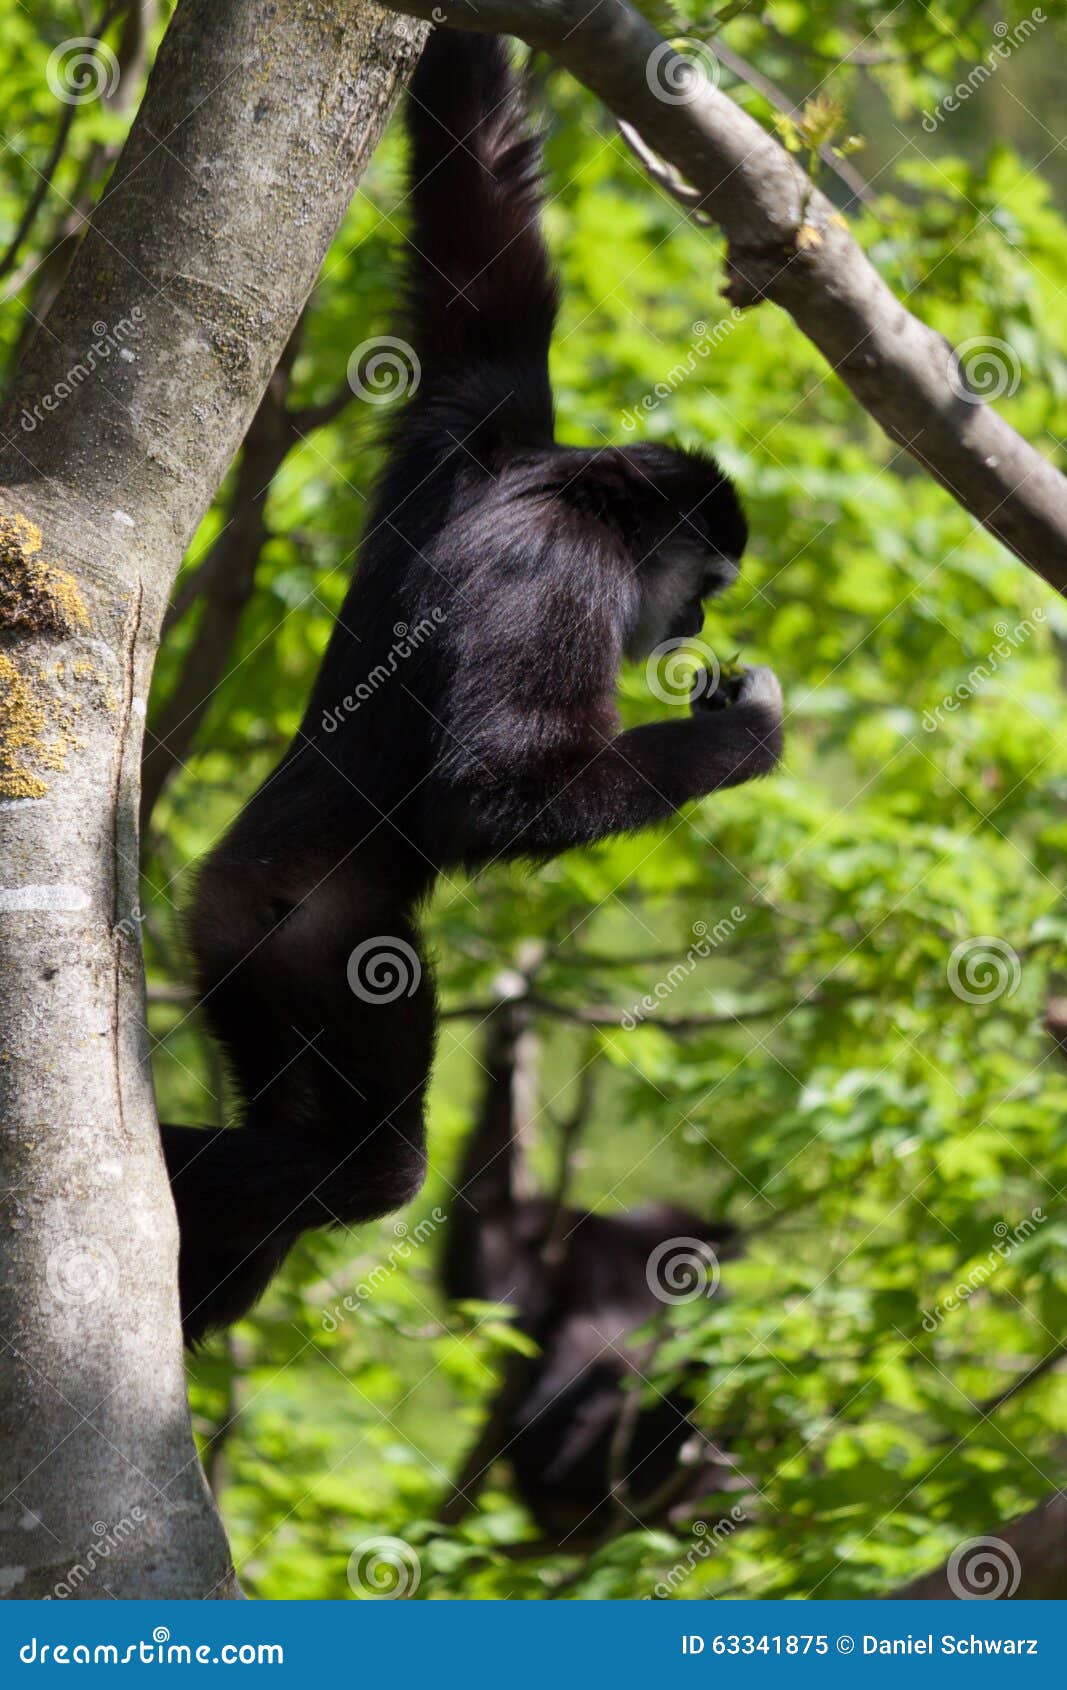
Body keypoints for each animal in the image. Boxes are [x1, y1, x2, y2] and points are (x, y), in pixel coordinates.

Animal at [161, 29, 782, 1345]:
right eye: (703, 583)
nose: (700, 617)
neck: (557, 489)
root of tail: (231, 878)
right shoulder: (564, 570)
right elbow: (489, 791)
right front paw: (750, 730)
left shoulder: (482, 410)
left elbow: (478, 201)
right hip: (321, 941)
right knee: (361, 1166)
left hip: (233, 952)